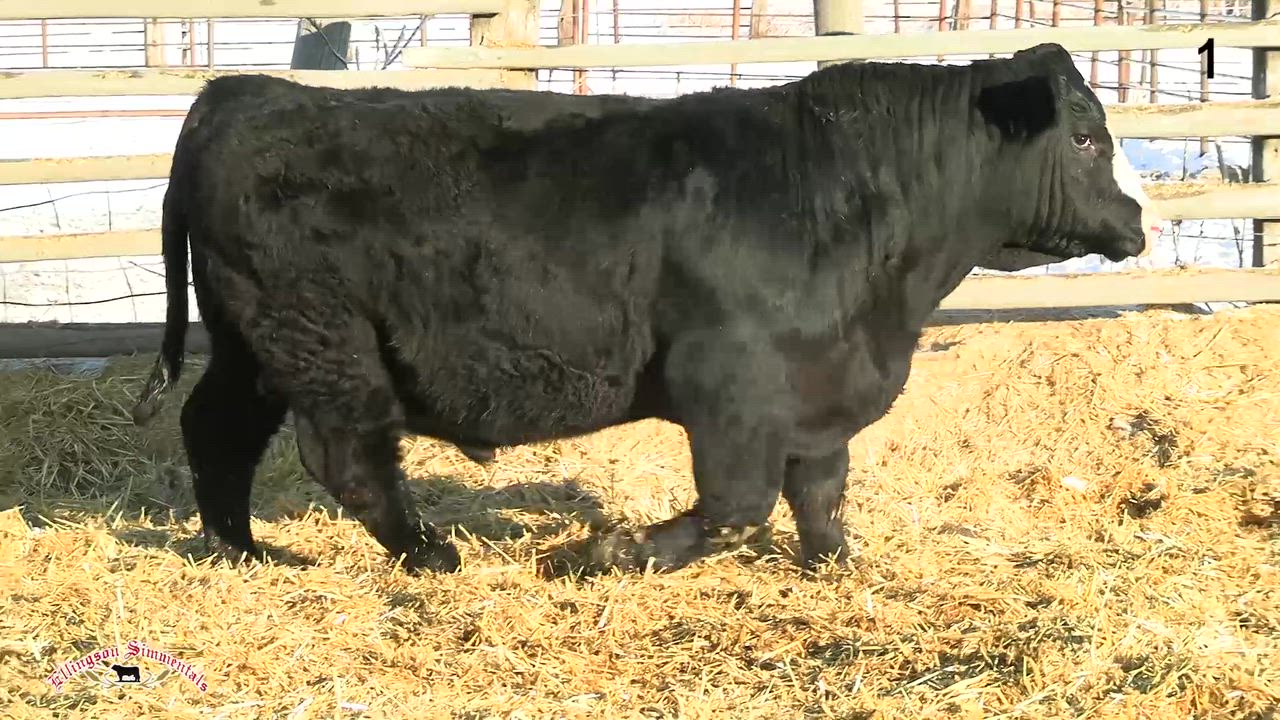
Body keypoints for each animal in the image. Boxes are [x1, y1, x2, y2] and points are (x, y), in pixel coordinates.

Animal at [130, 43, 1161, 576]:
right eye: (1084, 136)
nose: (1139, 222)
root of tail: (245, 92)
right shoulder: (732, 388)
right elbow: (739, 506)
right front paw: (607, 552)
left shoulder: (821, 389)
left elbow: (820, 494)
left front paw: (837, 566)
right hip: (325, 341)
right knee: (347, 454)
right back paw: (429, 555)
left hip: (252, 343)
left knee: (215, 428)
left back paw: (241, 551)